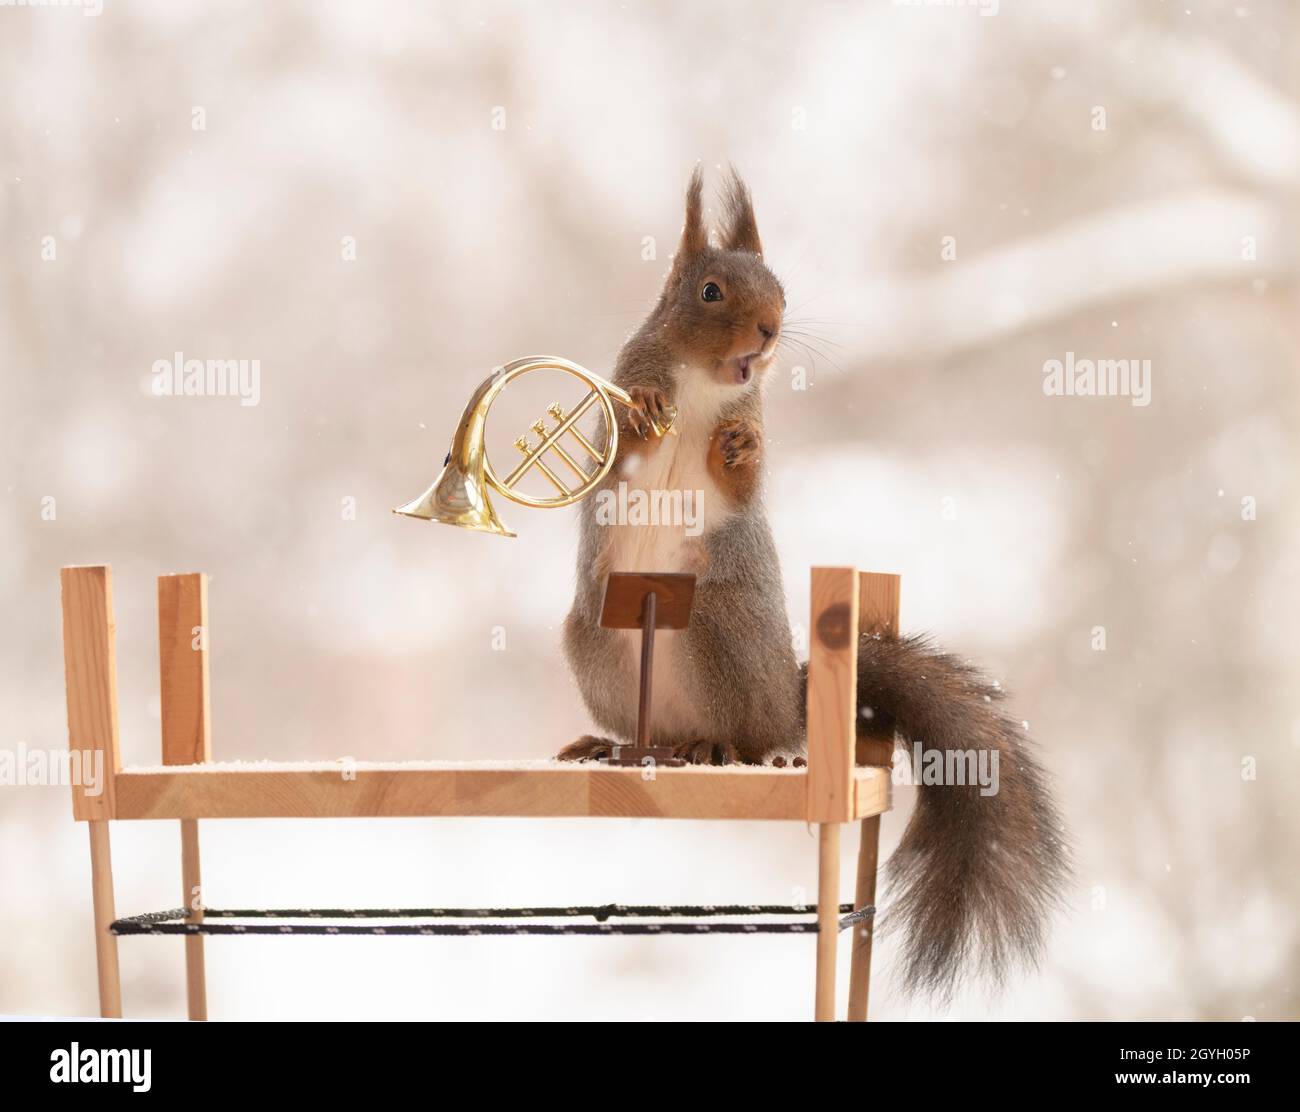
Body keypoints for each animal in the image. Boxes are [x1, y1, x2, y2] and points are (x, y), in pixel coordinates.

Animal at [557, 167, 1068, 997]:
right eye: (709, 291)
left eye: (783, 294)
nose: (768, 333)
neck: (704, 383)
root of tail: (786, 696)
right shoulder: (622, 400)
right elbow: (618, 448)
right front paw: (650, 409)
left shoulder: (750, 423)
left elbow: (745, 476)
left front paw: (742, 447)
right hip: (599, 631)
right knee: (655, 729)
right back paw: (617, 745)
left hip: (719, 623)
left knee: (752, 735)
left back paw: (719, 746)